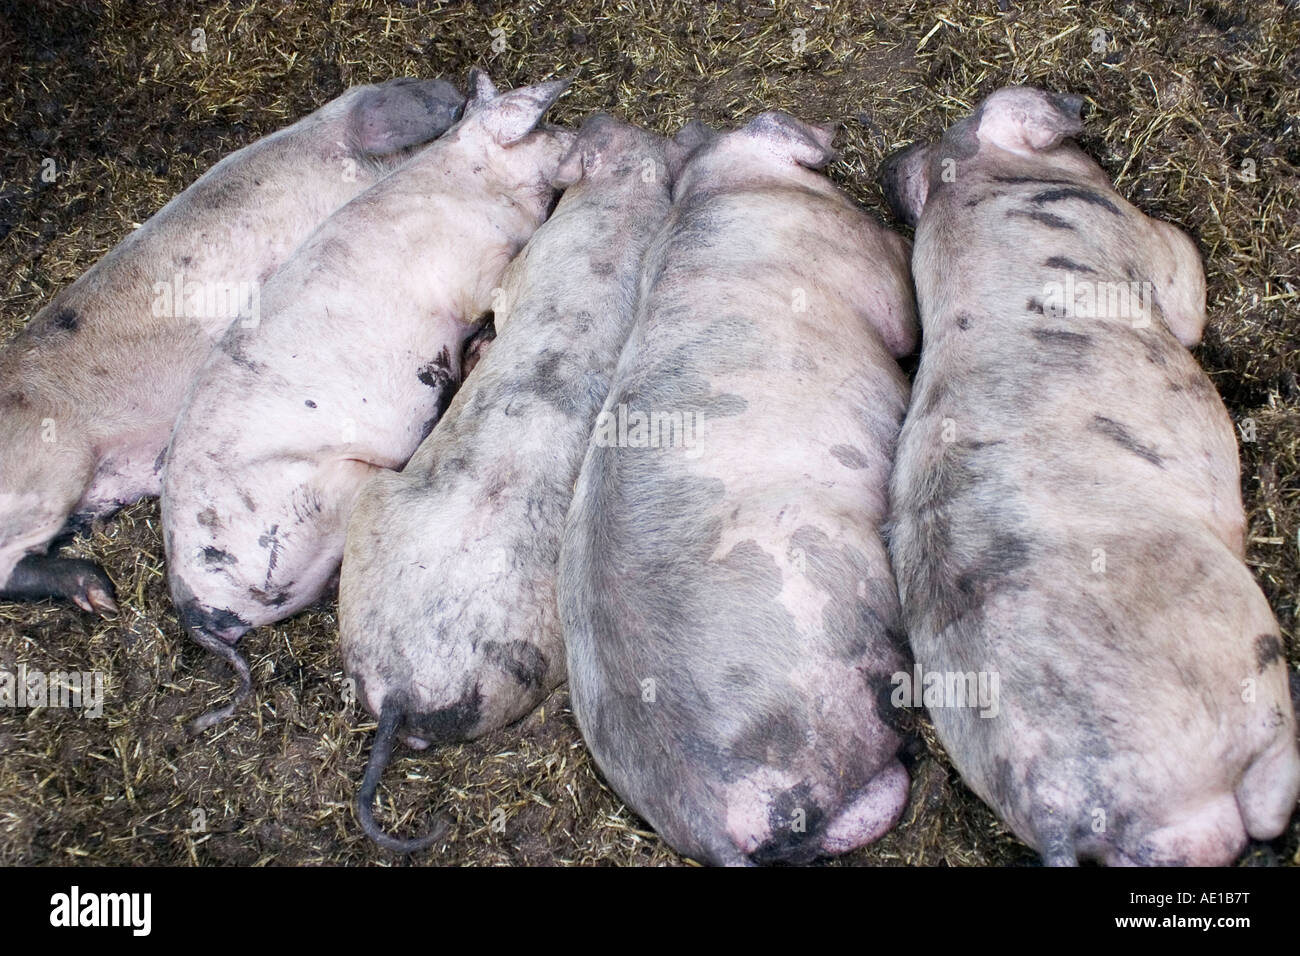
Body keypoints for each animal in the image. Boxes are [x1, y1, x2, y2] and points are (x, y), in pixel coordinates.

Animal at [161, 72, 572, 732]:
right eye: (545, 125)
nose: (579, 130)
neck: (475, 180)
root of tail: (193, 608)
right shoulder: (478, 274)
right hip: (331, 497)